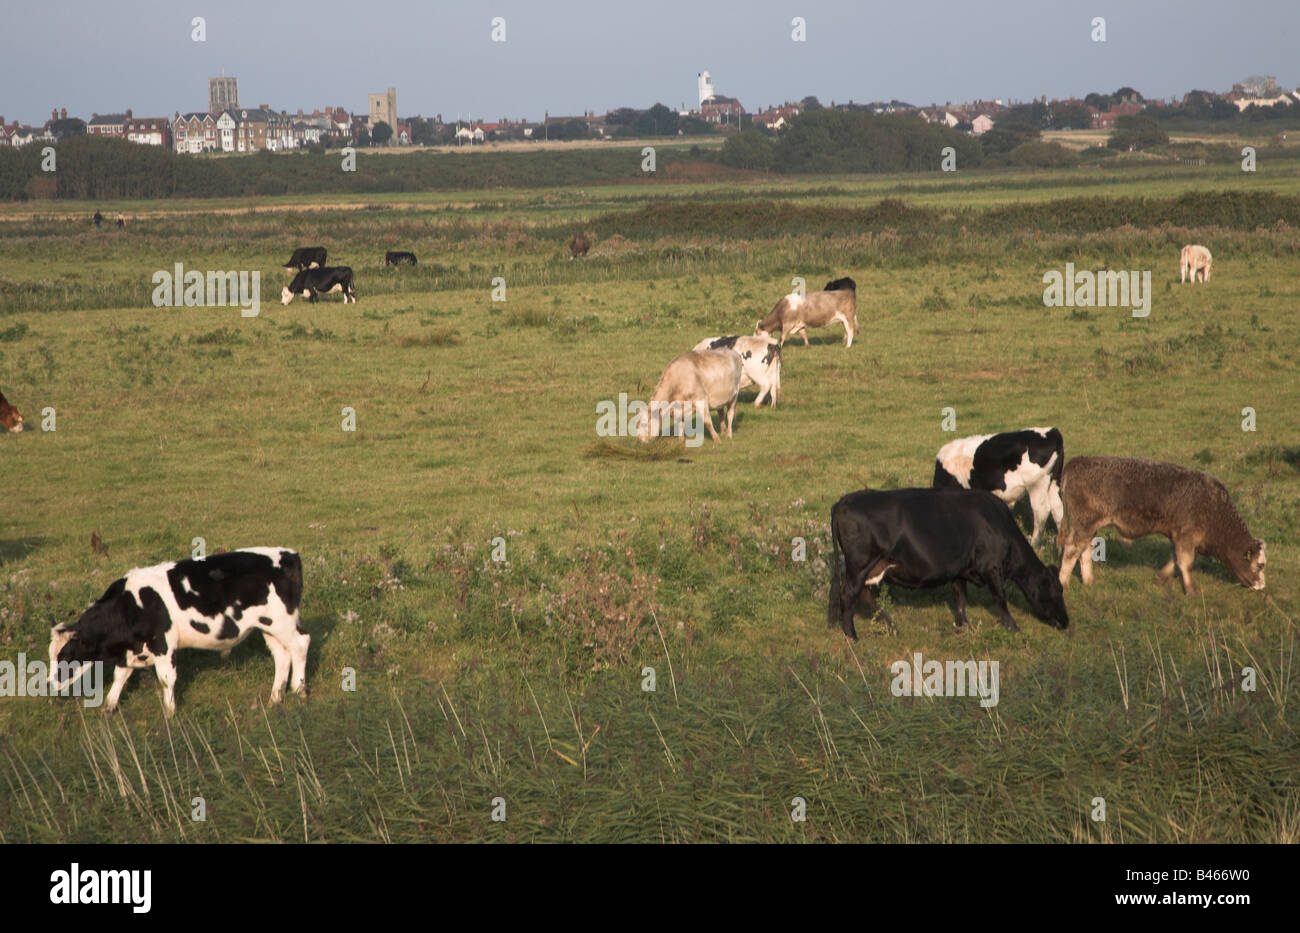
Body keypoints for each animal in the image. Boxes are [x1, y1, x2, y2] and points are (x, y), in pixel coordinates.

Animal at [48, 548, 309, 717]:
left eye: (66, 656)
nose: (49, 684)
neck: (131, 605)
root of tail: (288, 554)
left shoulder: (163, 644)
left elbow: (167, 679)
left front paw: (170, 714)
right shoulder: (132, 648)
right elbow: (120, 675)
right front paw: (109, 707)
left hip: (283, 622)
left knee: (301, 645)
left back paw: (299, 691)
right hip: (268, 627)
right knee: (282, 656)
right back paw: (275, 698)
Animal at [829, 487, 1068, 639]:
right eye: (1057, 590)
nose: (1066, 622)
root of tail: (845, 500)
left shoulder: (960, 569)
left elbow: (960, 598)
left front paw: (966, 628)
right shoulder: (991, 567)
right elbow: (1000, 599)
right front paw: (1014, 628)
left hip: (870, 567)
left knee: (862, 592)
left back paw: (890, 626)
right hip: (860, 564)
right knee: (848, 594)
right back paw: (852, 636)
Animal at [932, 427, 1065, 546]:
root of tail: (1052, 432)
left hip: (1037, 485)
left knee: (1041, 510)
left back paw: (1034, 542)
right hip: (1054, 483)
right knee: (1057, 507)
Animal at [1057, 456, 1265, 594]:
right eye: (1260, 564)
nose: (1261, 586)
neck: (1213, 506)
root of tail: (1078, 461)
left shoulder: (1178, 536)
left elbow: (1175, 558)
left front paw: (1161, 578)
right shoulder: (1186, 536)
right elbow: (1186, 563)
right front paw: (1191, 590)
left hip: (1089, 527)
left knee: (1084, 550)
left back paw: (1089, 581)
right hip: (1084, 525)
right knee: (1071, 549)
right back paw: (1063, 583)